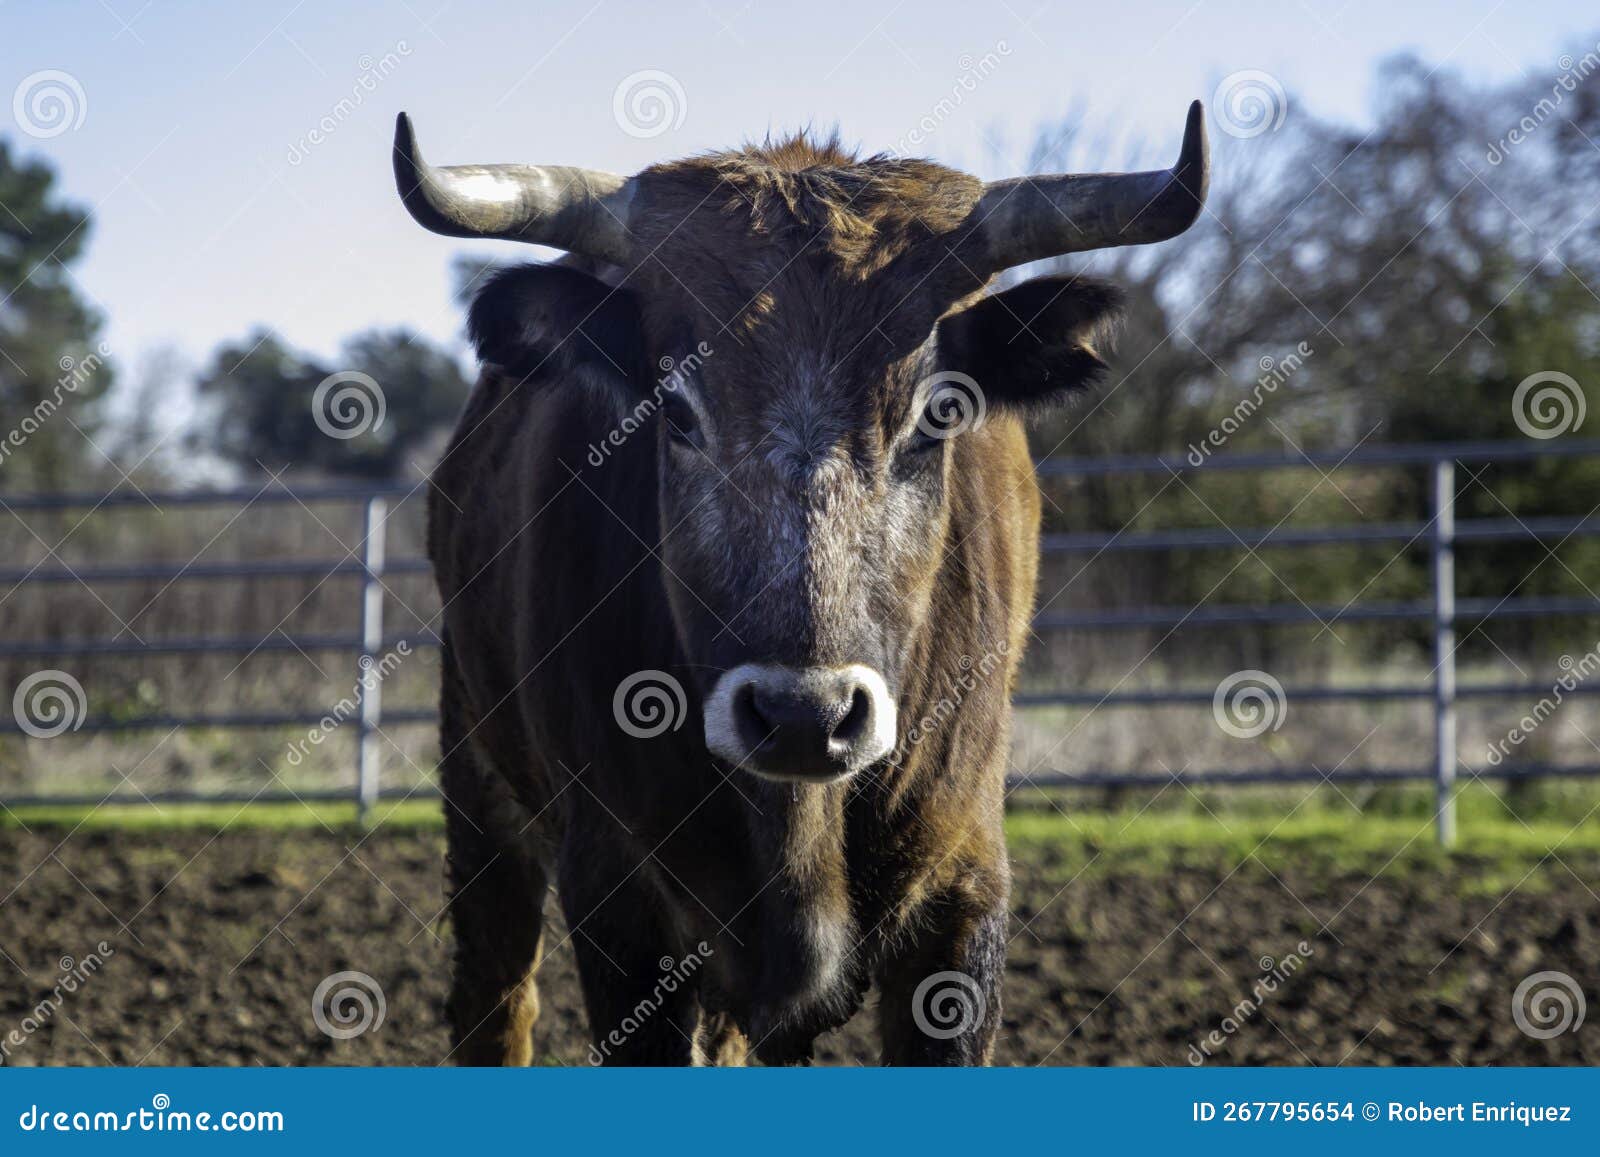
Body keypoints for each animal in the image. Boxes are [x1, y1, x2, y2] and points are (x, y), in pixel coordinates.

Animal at [393, 103, 1208, 1065]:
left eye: (941, 410)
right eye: (676, 411)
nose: (802, 715)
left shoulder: (963, 893)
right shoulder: (618, 900)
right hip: (478, 781)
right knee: (498, 996)